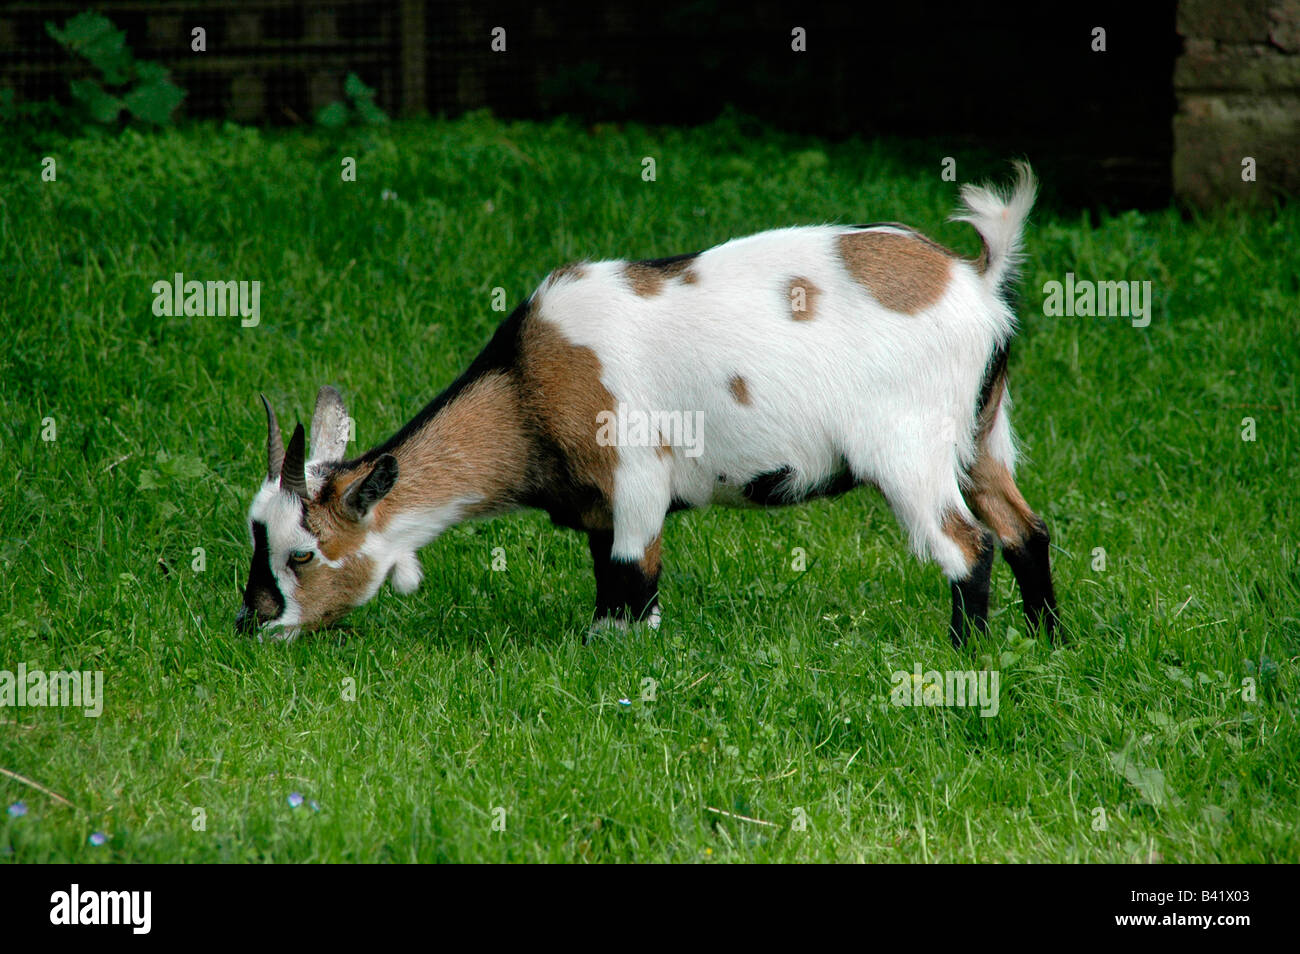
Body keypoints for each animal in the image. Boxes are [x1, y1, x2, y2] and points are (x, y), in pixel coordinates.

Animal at [237, 163, 1058, 645]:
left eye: (301, 553)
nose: (252, 623)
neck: (527, 385)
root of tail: (975, 278)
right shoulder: (601, 506)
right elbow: (616, 587)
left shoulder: (634, 477)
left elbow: (631, 582)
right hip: (983, 432)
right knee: (1026, 530)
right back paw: (1046, 642)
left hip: (907, 446)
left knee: (967, 544)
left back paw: (966, 658)